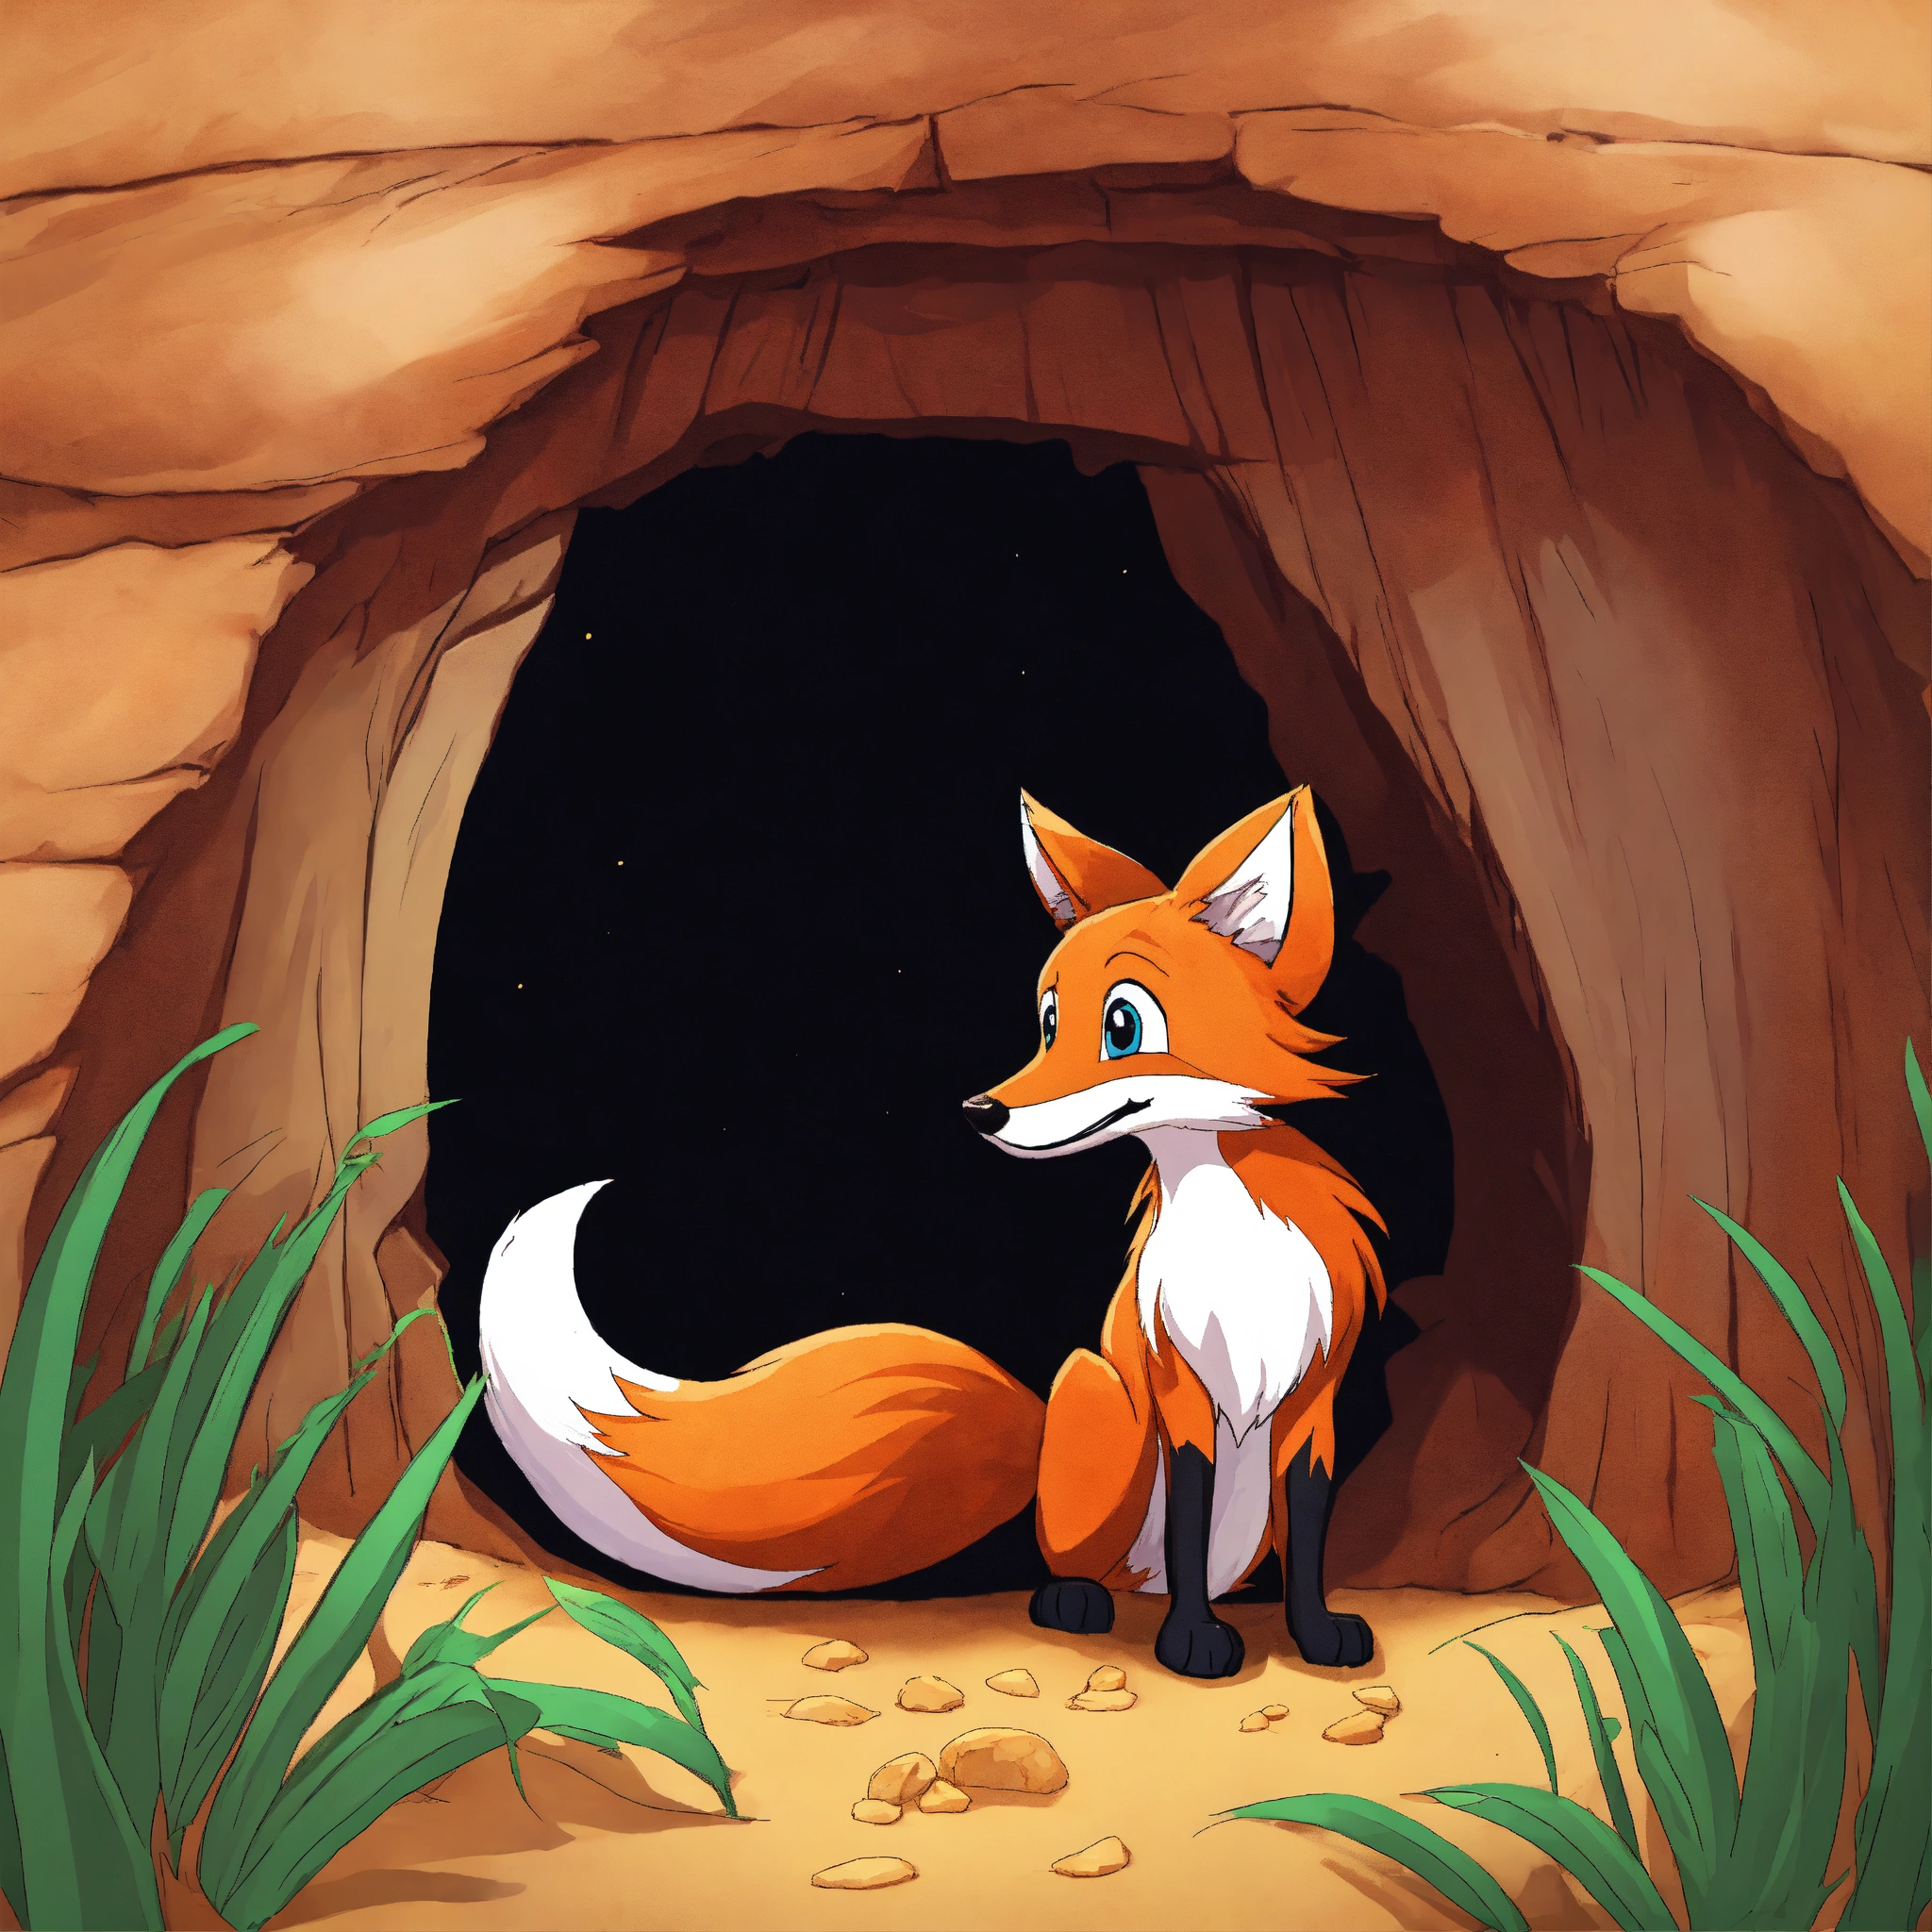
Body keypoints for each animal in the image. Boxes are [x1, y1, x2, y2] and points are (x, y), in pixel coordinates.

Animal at [478, 785, 1387, 1677]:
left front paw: (1315, 1636)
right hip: (1095, 1394)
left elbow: (1309, 1530)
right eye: (1047, 1023)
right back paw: (1076, 1600)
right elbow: (1191, 1515)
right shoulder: (1179, 1391)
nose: (982, 1110)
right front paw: (1192, 1643)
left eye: (1123, 1026)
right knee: (1087, 1563)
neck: (1232, 1240)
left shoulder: (1317, 1398)